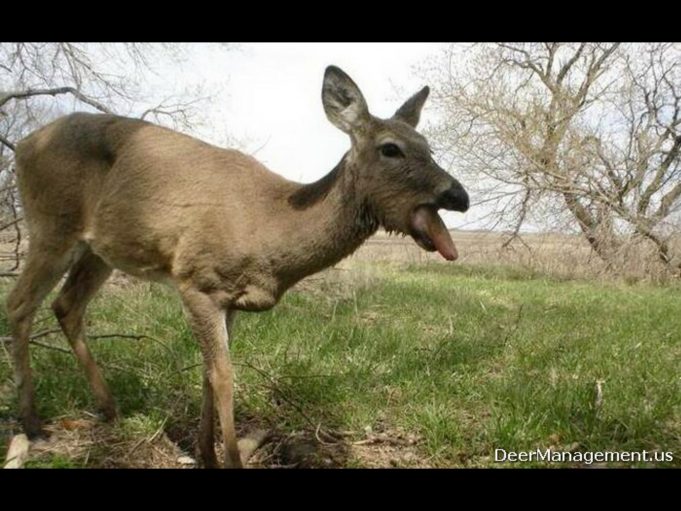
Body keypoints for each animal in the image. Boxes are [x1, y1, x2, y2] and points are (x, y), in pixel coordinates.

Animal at [6, 65, 469, 468]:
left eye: (429, 146)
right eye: (391, 148)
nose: (459, 195)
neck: (271, 229)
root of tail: (24, 144)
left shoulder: (231, 299)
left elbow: (209, 376)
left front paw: (206, 453)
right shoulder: (196, 281)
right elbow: (223, 375)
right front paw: (228, 458)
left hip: (100, 248)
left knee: (66, 306)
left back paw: (108, 408)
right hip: (51, 225)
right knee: (19, 303)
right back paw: (31, 424)